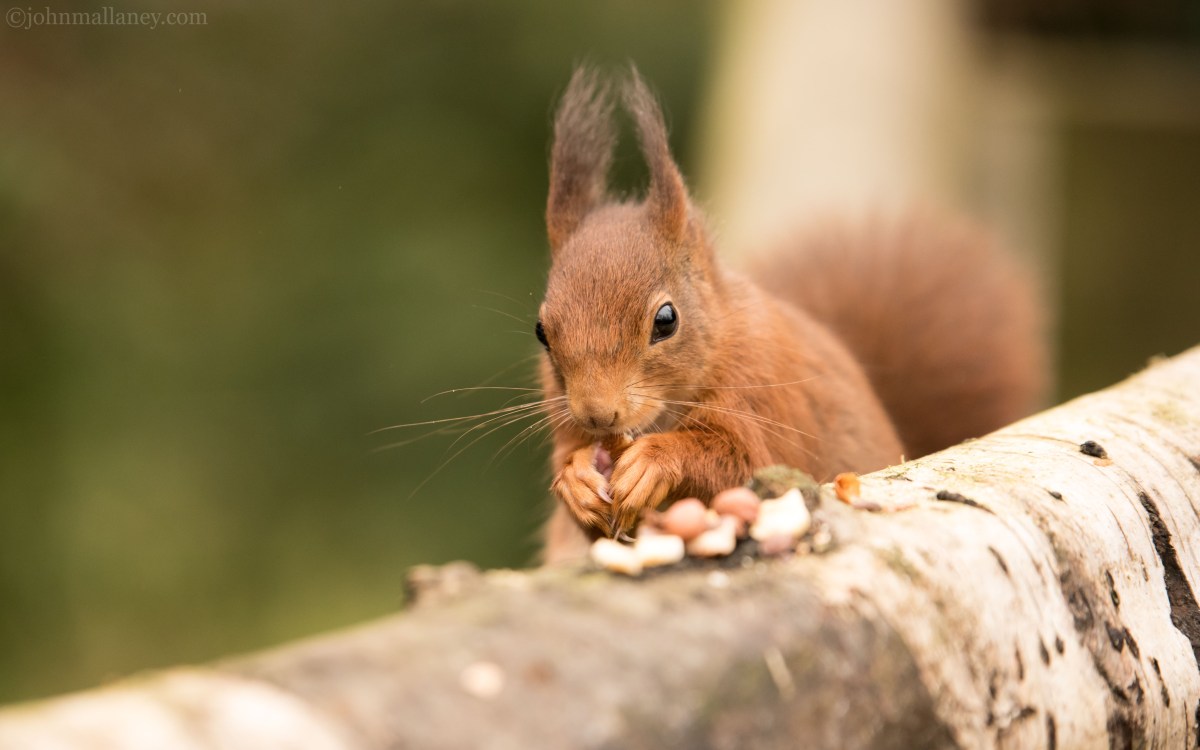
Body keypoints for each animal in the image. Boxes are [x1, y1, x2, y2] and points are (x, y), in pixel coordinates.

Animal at [535, 68, 1047, 563]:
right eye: (541, 331)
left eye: (666, 320)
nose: (598, 414)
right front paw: (576, 477)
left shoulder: (762, 393)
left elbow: (743, 461)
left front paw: (653, 461)